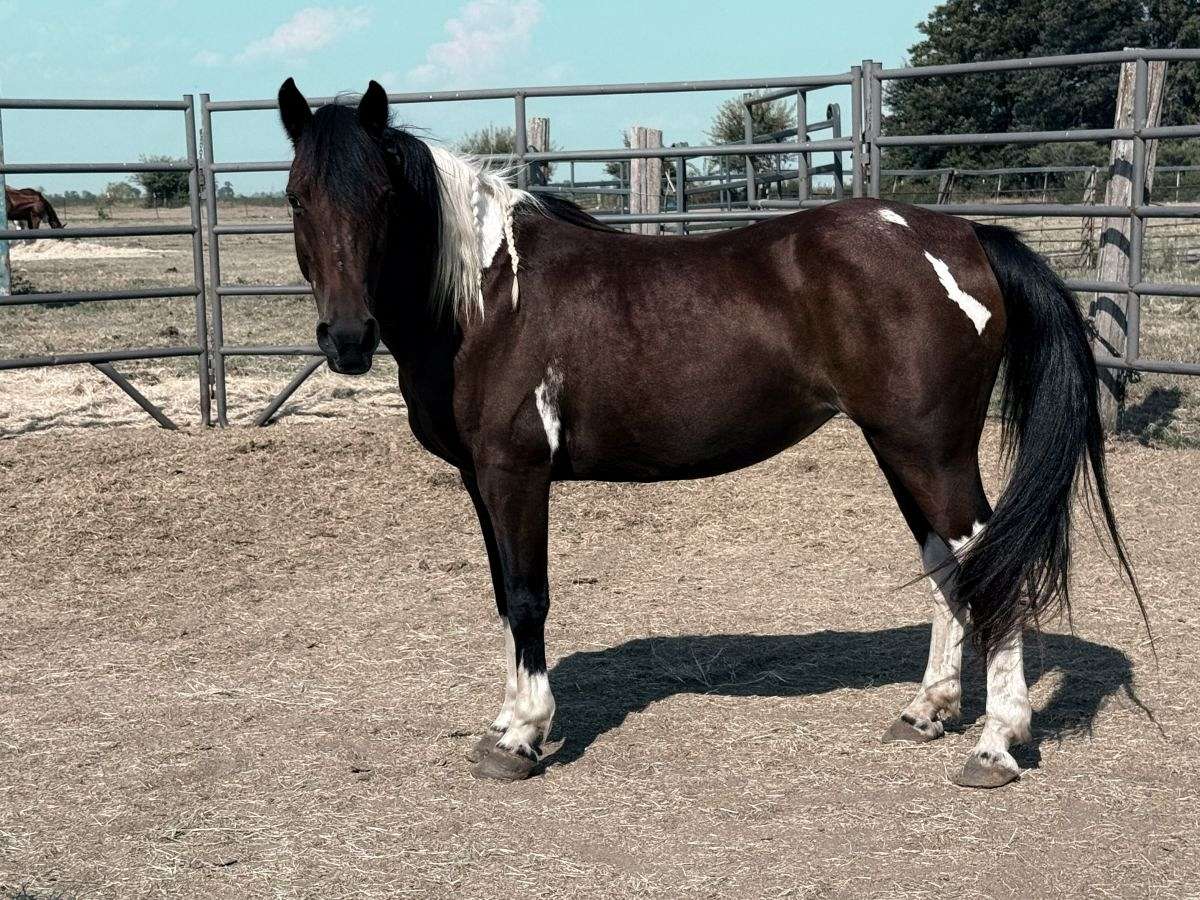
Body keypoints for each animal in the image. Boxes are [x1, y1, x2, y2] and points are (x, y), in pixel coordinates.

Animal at [277, 79, 1144, 788]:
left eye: (383, 196)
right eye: (294, 197)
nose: (346, 338)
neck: (488, 296)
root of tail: (963, 238)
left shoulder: (513, 472)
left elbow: (526, 597)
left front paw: (521, 736)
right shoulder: (478, 479)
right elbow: (501, 595)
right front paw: (505, 721)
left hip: (931, 451)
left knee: (990, 567)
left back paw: (995, 745)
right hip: (903, 449)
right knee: (949, 565)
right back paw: (926, 712)